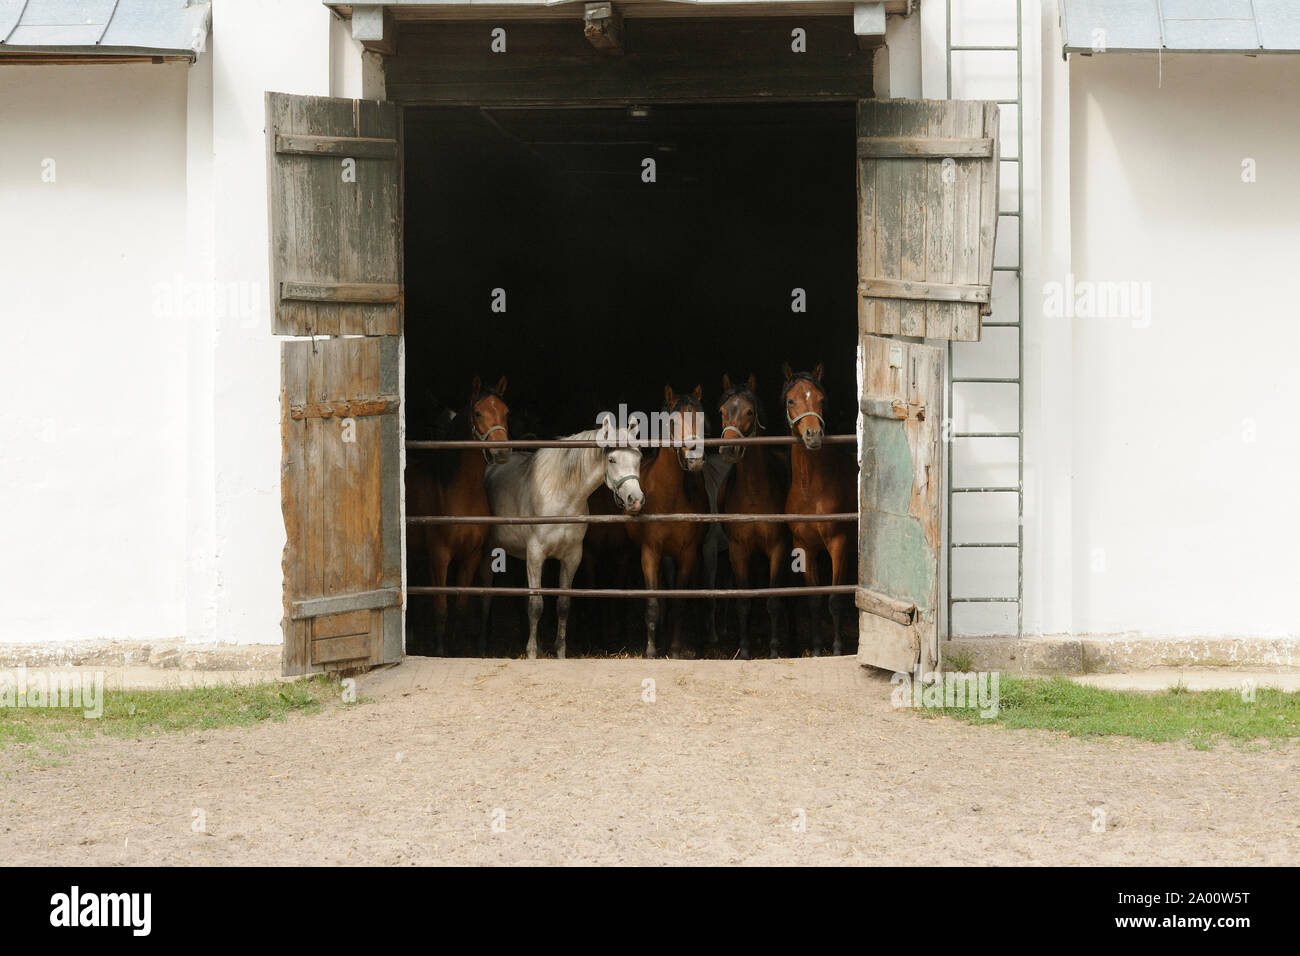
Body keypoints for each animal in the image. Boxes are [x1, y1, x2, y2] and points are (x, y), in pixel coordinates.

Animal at [405, 376, 510, 656]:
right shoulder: (439, 556)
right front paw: (441, 651)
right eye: (478, 412)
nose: (501, 453)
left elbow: (461, 606)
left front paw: (457, 649)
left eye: (506, 412)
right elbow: (441, 607)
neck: (460, 492)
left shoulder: (471, 556)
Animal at [485, 426, 645, 660]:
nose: (636, 500)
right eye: (612, 459)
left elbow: (563, 604)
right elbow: (536, 605)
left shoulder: (572, 557)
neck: (561, 498)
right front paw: (531, 653)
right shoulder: (535, 555)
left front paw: (559, 651)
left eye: (639, 459)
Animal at [626, 386, 710, 659]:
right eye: (673, 422)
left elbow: (679, 603)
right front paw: (651, 650)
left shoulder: (688, 553)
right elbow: (654, 602)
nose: (695, 459)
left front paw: (674, 650)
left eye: (702, 419)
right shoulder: (650, 552)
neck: (670, 495)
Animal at [717, 374, 791, 659]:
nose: (729, 449)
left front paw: (774, 650)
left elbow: (774, 601)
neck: (753, 493)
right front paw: (745, 650)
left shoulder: (778, 548)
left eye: (749, 411)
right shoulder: (739, 550)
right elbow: (743, 601)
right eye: (723, 411)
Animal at [782, 362, 857, 656]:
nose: (813, 435)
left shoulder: (838, 544)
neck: (810, 491)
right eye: (791, 400)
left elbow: (835, 599)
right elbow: (814, 600)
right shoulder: (804, 547)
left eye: (821, 399)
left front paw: (836, 649)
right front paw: (815, 648)